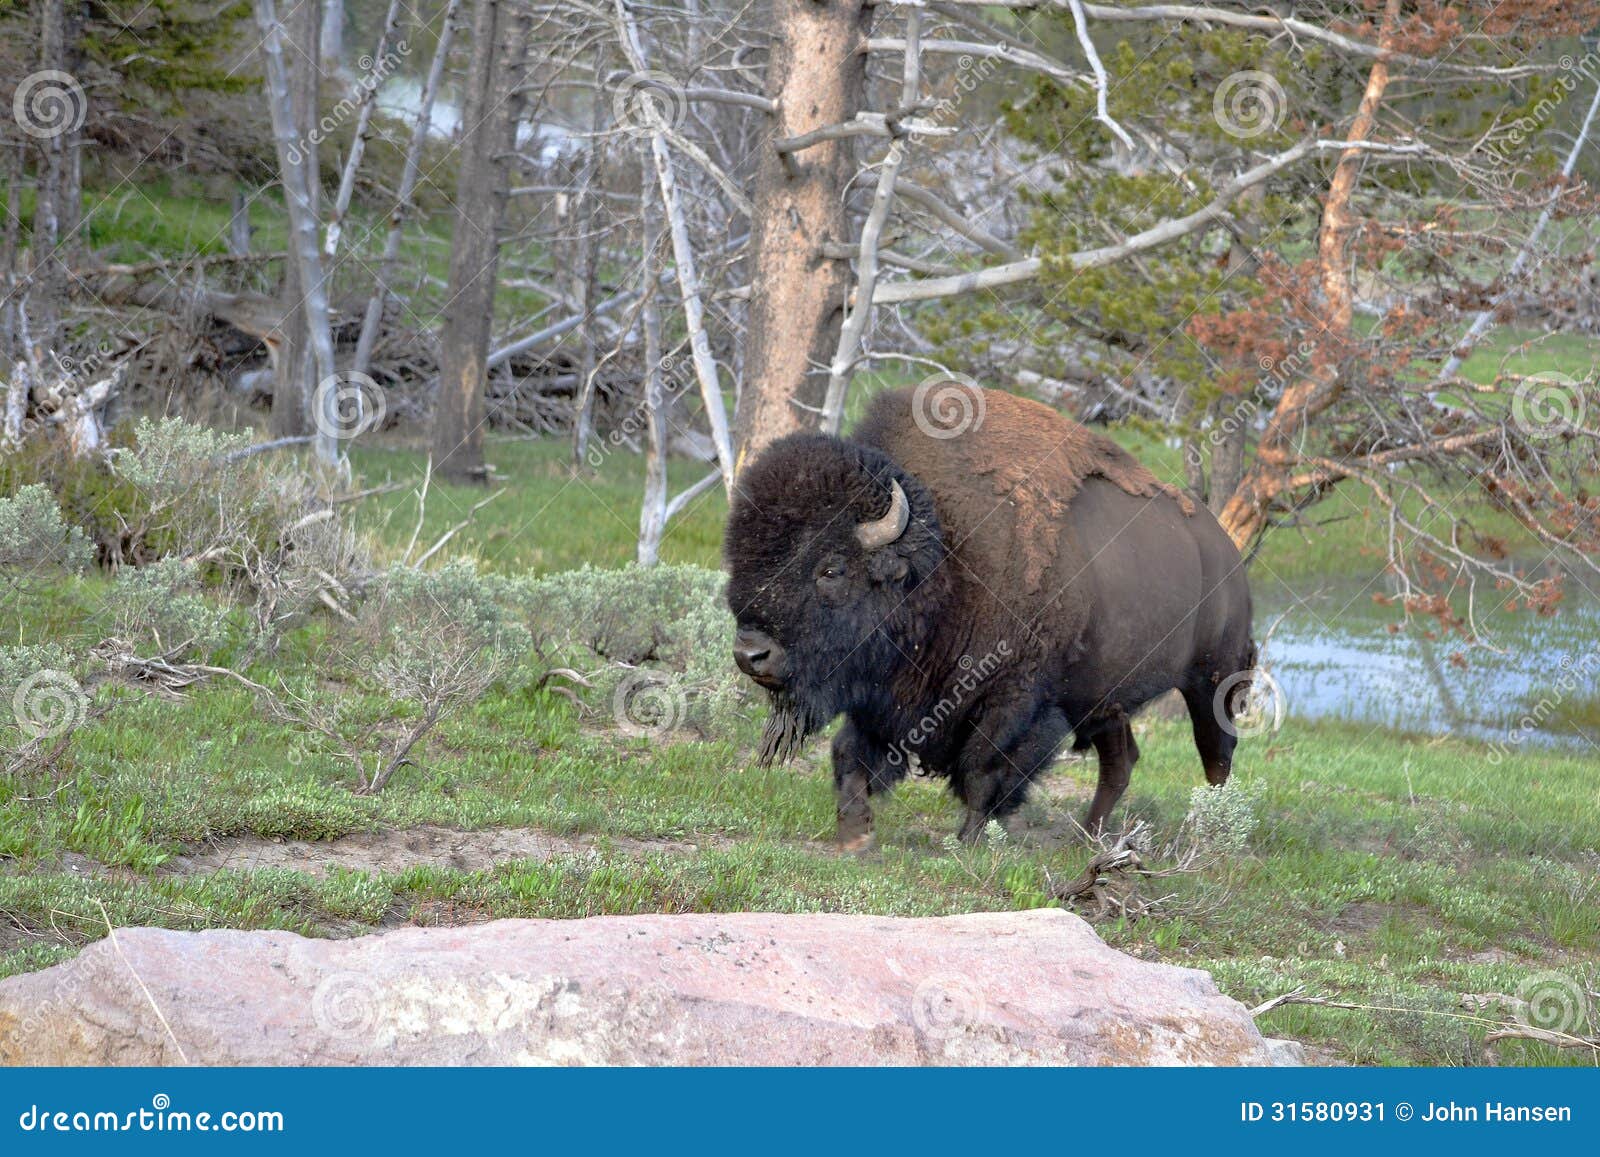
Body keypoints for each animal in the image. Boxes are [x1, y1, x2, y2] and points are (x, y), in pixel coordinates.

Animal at [724, 383, 1255, 848]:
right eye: (740, 558)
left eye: (830, 569)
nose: (751, 654)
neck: (946, 558)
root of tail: (1226, 552)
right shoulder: (886, 700)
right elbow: (850, 756)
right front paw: (855, 836)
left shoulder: (1013, 700)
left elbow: (983, 772)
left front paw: (966, 843)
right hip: (1105, 700)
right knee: (1121, 761)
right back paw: (1087, 838)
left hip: (1214, 679)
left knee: (1217, 758)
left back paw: (1208, 837)